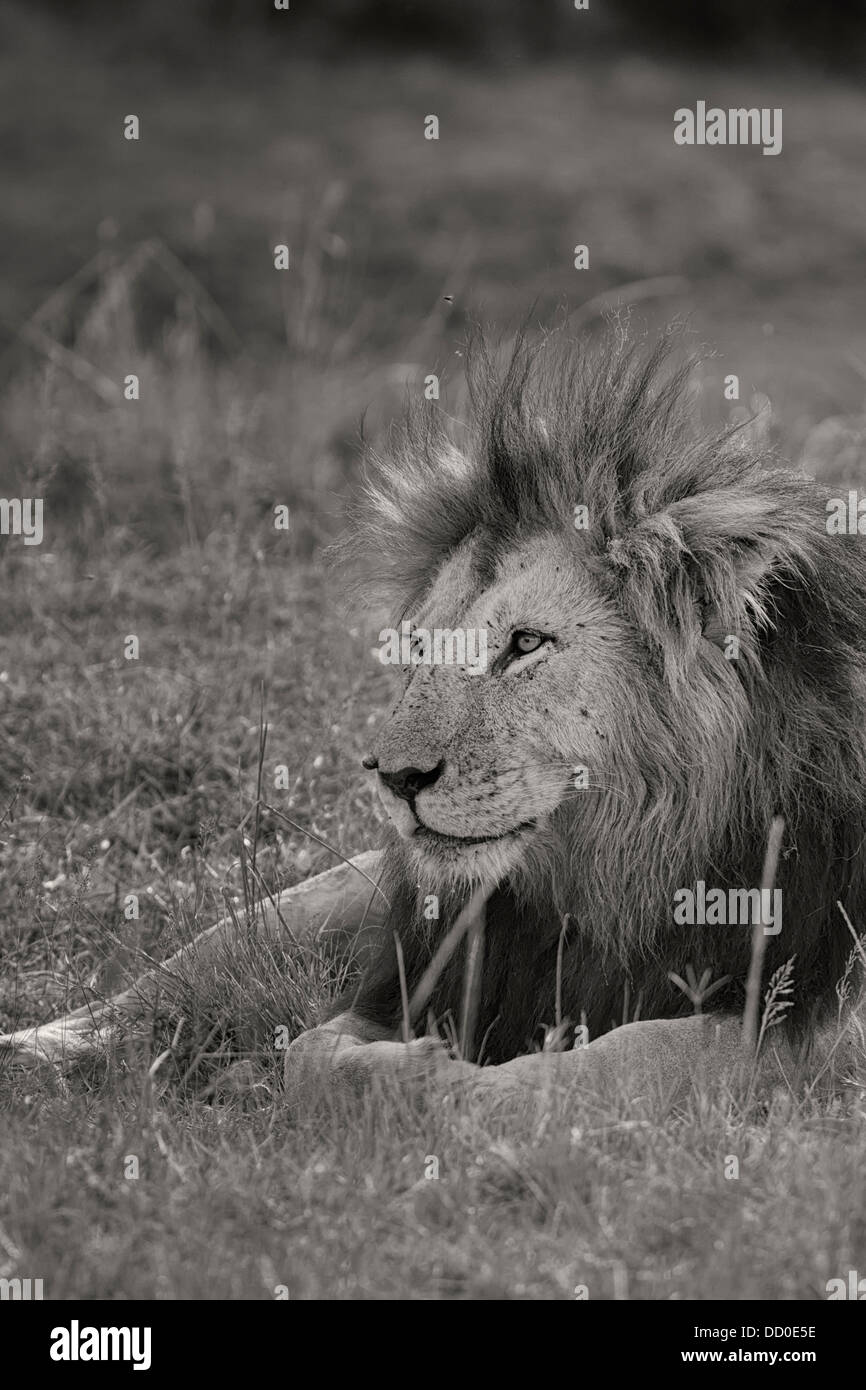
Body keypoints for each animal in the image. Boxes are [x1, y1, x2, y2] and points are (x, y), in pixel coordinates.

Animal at [4, 328, 865, 1111]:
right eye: (420, 646)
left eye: (526, 644)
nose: (396, 778)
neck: (615, 874)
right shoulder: (415, 970)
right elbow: (309, 1054)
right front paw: (388, 1068)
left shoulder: (810, 1014)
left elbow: (616, 1062)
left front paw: (441, 1082)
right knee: (190, 962)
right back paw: (40, 1050)